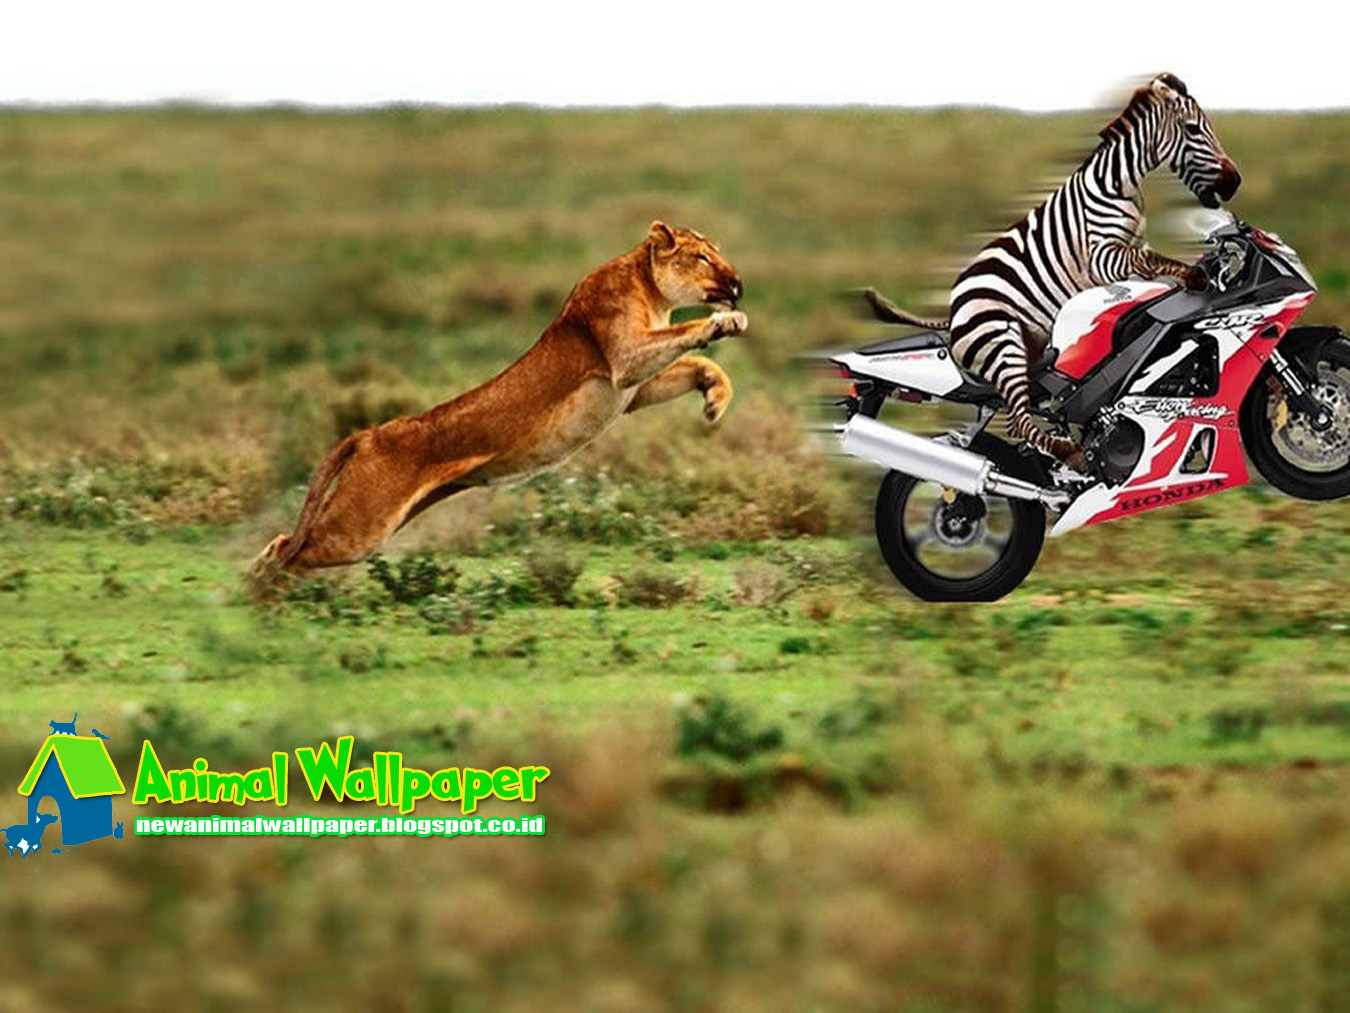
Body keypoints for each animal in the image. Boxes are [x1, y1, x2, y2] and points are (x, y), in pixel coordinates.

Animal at [250, 221, 746, 585]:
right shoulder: (624, 357)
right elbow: (687, 335)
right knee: (287, 551)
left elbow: (696, 363)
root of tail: (368, 433)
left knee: (286, 544)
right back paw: (263, 604)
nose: (738, 285)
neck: (654, 292)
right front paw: (724, 322)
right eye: (702, 257)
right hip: (359, 527)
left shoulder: (631, 391)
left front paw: (714, 399)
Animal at [868, 73, 1242, 469]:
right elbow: (1149, 260)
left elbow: (1146, 269)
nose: (1235, 182)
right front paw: (1196, 277)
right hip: (1003, 340)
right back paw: (1069, 454)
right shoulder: (1101, 255)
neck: (1119, 185)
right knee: (1018, 418)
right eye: (1193, 129)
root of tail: (953, 311)